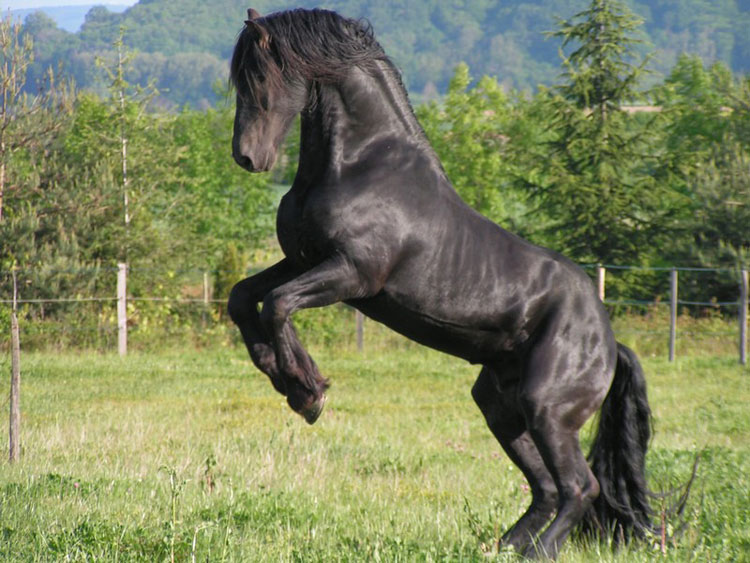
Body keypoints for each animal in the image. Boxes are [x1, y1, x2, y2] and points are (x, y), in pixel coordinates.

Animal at [227, 8, 654, 559]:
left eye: (261, 77)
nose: (247, 157)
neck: (364, 165)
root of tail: (609, 342)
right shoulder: (302, 259)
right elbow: (244, 297)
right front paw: (282, 376)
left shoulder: (353, 274)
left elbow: (278, 304)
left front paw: (307, 393)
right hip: (500, 406)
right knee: (546, 488)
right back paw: (501, 546)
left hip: (549, 410)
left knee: (580, 488)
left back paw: (536, 551)